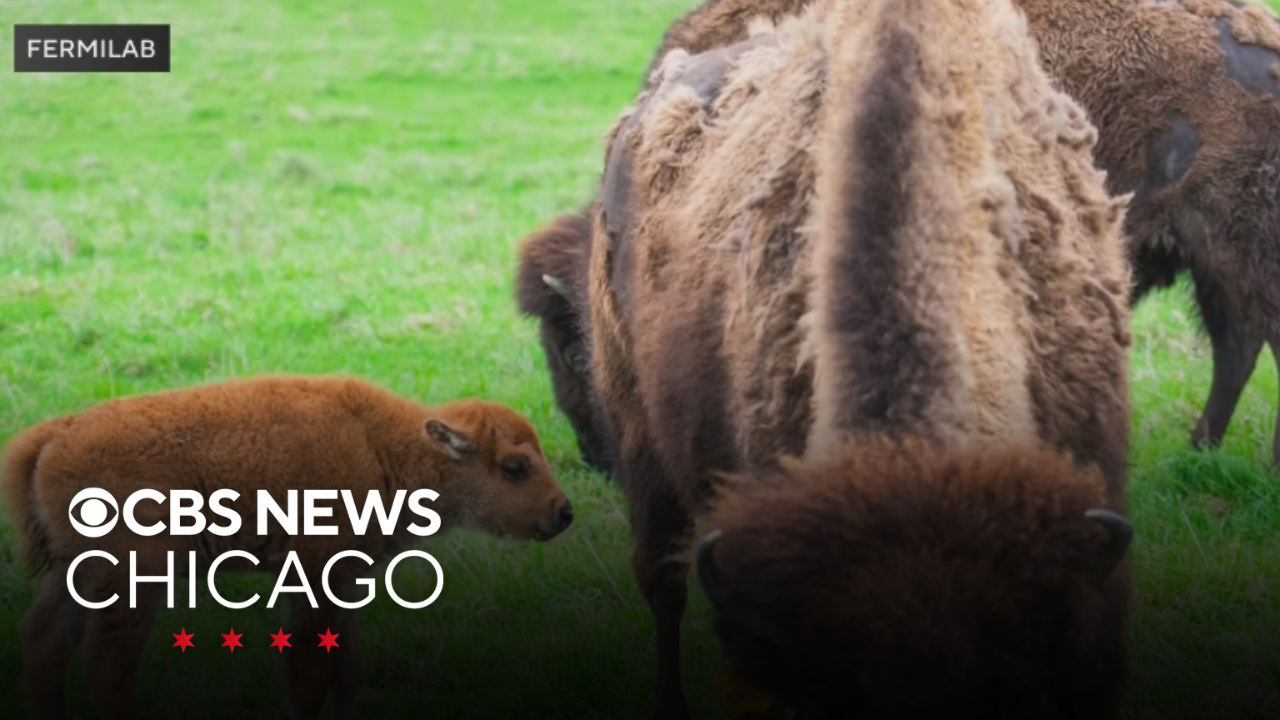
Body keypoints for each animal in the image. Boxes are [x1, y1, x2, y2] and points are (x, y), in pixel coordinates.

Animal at [2, 375, 573, 720]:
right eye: (514, 467)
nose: (563, 513)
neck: (380, 445)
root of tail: (57, 433)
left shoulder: (343, 581)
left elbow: (346, 669)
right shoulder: (316, 577)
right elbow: (309, 670)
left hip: (78, 574)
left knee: (45, 640)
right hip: (130, 580)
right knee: (108, 662)